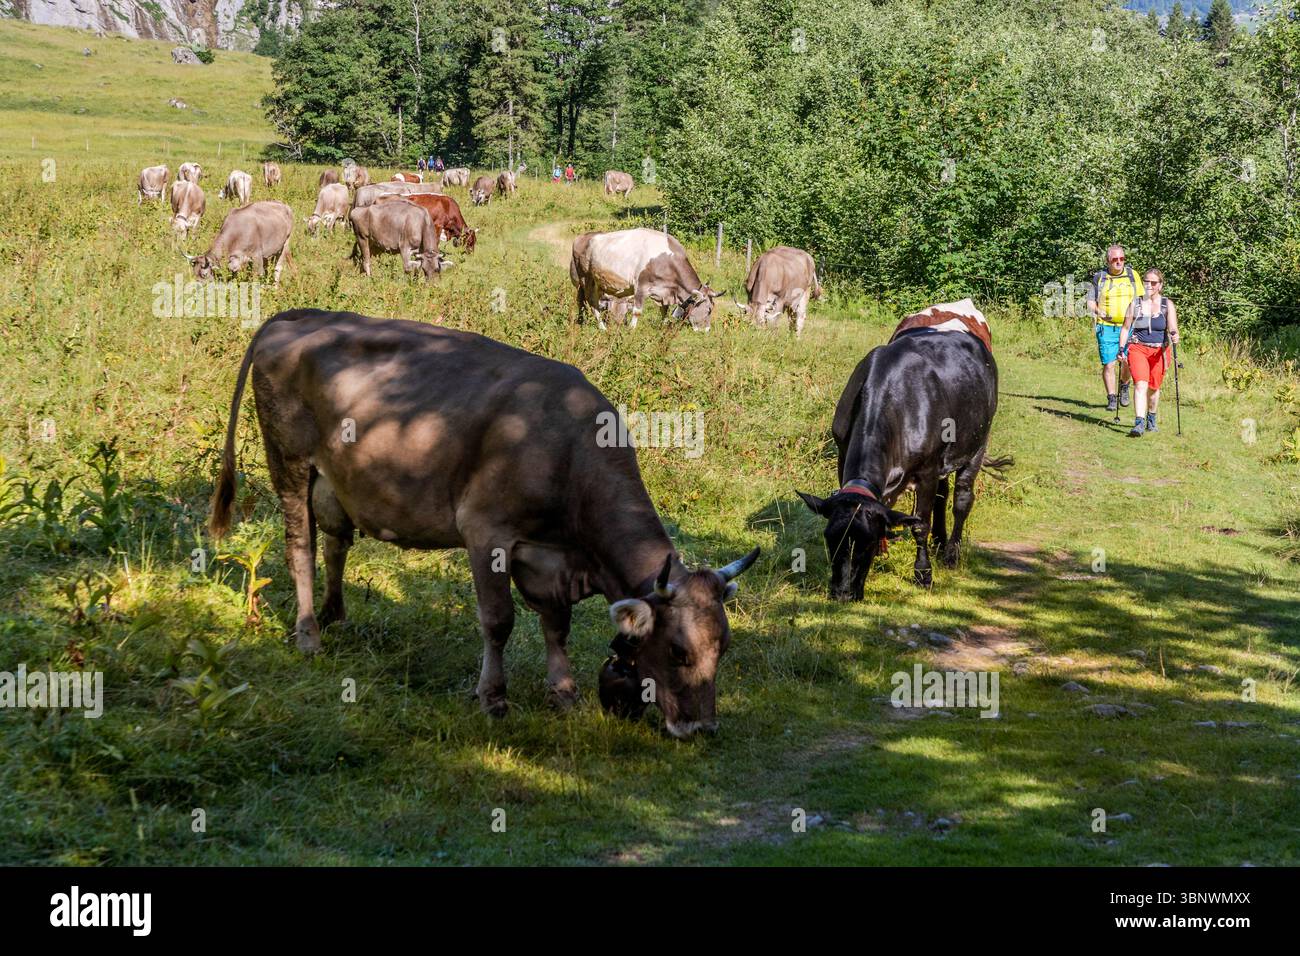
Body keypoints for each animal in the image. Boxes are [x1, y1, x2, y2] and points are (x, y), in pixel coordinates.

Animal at [207, 308, 760, 735]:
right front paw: (492, 697)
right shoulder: (485, 533)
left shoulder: (548, 559)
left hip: (335, 480)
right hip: (289, 462)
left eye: (725, 648)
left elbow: (556, 625)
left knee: (336, 542)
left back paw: (334, 617)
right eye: (678, 651)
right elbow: (499, 621)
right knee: (299, 544)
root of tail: (301, 316)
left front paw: (564, 693)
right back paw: (308, 636)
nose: (703, 727)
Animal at [570, 227, 722, 331]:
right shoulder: (641, 287)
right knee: (591, 303)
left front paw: (662, 326)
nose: (706, 330)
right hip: (586, 279)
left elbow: (664, 310)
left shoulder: (664, 291)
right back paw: (601, 327)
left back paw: (581, 321)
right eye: (709, 309)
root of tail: (583, 237)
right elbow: (637, 311)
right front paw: (631, 329)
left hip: (595, 283)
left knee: (582, 302)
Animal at [796, 299, 1006, 599]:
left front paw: (923, 574)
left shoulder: (927, 470)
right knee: (943, 495)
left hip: (978, 442)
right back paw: (940, 542)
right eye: (830, 540)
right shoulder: (843, 454)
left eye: (867, 542)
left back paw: (951, 554)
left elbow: (920, 523)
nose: (842, 593)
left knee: (961, 498)